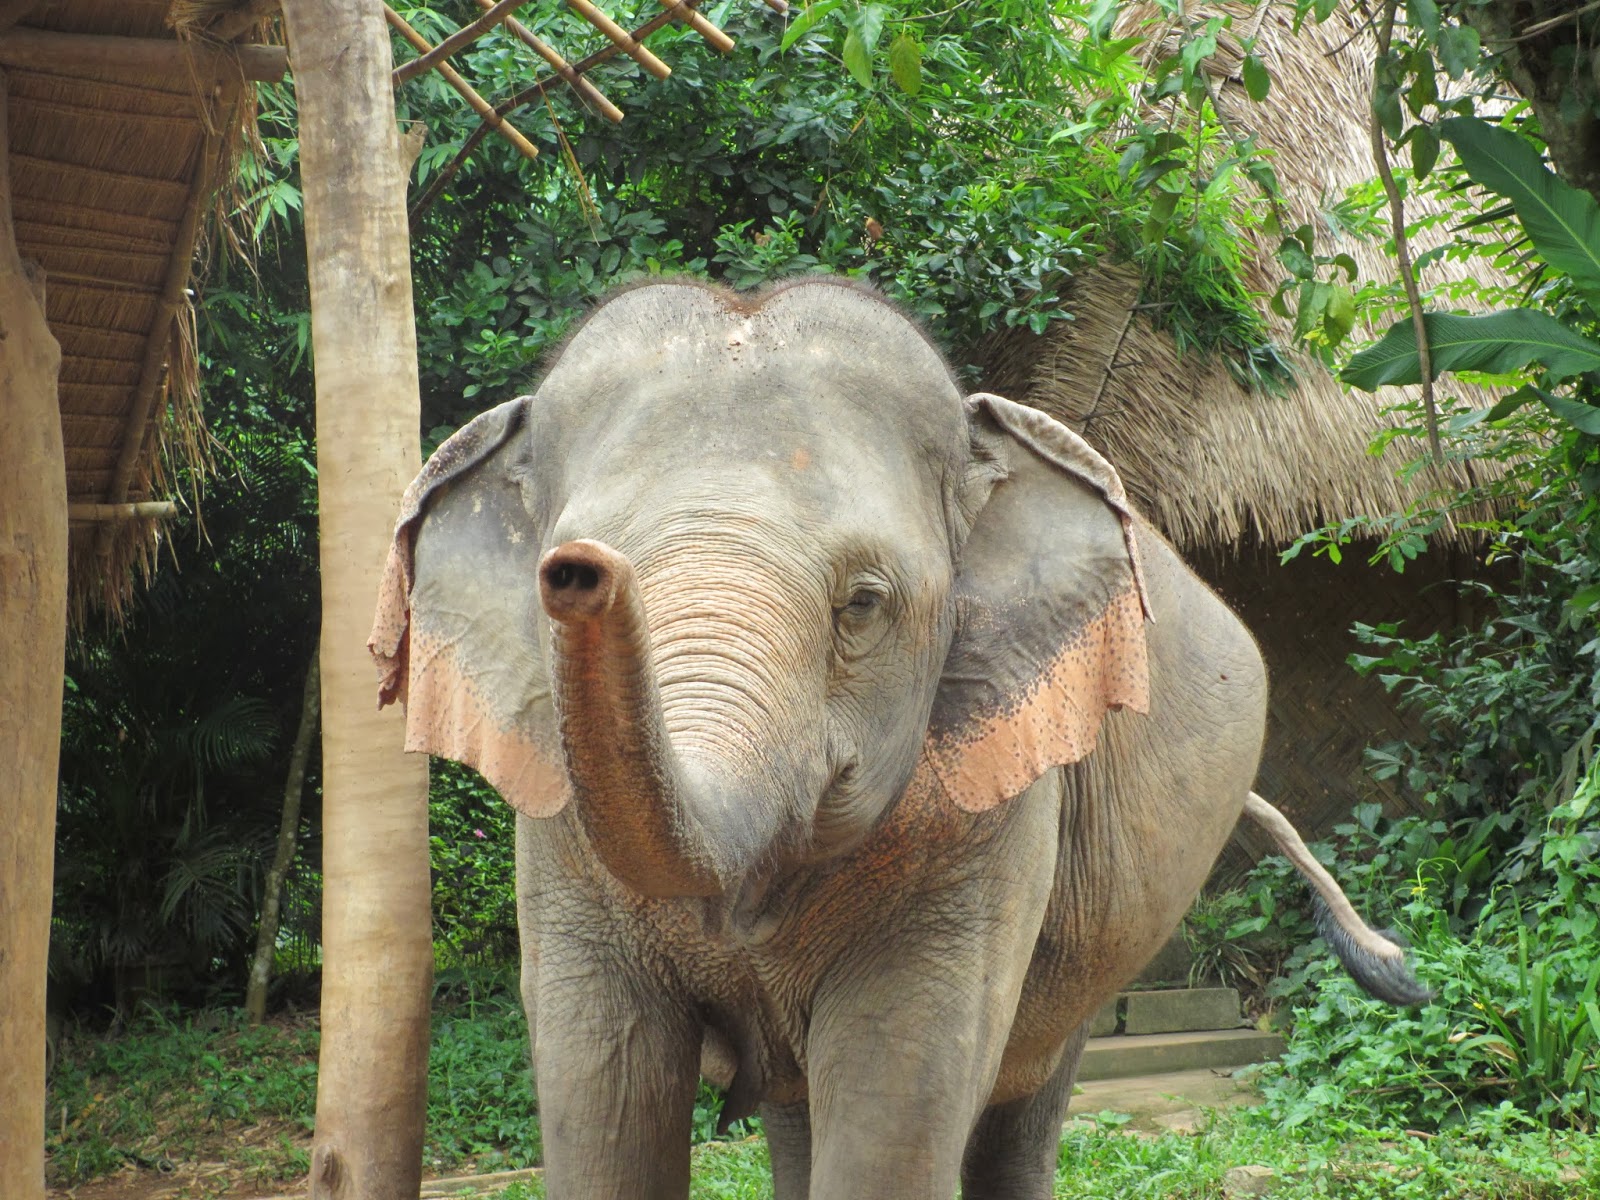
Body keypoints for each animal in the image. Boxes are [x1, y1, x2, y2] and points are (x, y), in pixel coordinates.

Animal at [370, 277, 1426, 1200]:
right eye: (549, 574)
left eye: (864, 604)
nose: (579, 572)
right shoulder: (557, 831)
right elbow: (602, 1099)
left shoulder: (991, 806)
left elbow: (896, 1104)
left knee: (1025, 1097)